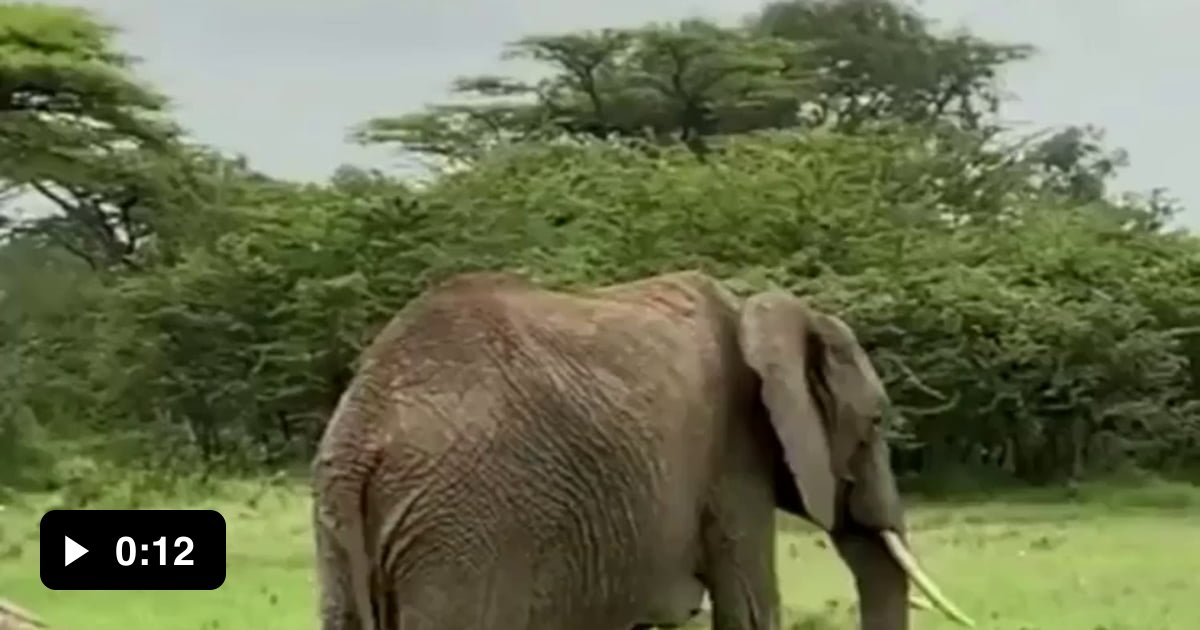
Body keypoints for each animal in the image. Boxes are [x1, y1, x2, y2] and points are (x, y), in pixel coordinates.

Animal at [311, 270, 973, 630]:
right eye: (877, 421)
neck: (756, 311)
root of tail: (364, 429)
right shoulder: (731, 457)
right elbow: (750, 607)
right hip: (465, 529)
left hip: (347, 531)